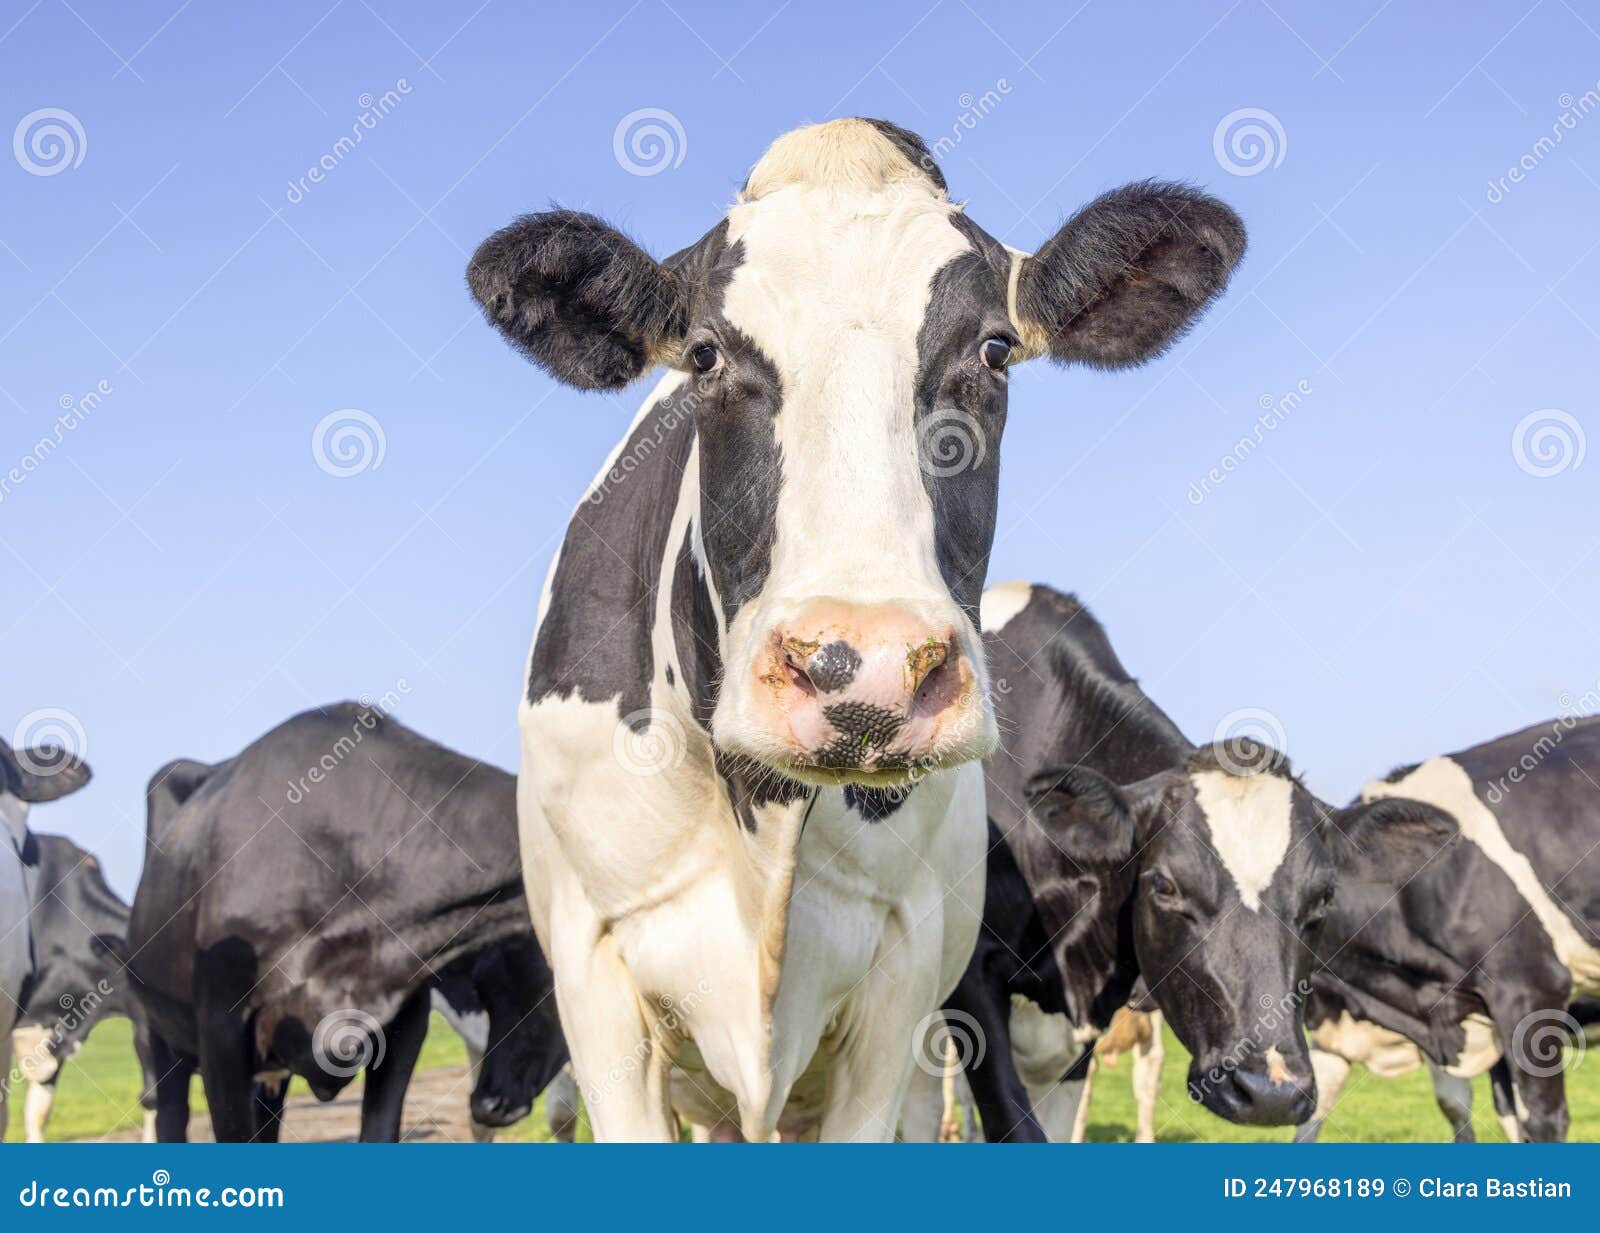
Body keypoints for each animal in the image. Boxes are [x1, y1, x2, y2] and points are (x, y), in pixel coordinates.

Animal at [123, 704, 569, 1142]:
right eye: (488, 988)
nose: (487, 1103)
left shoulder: (406, 1023)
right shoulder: (221, 1028)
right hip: (161, 1038)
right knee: (170, 1116)